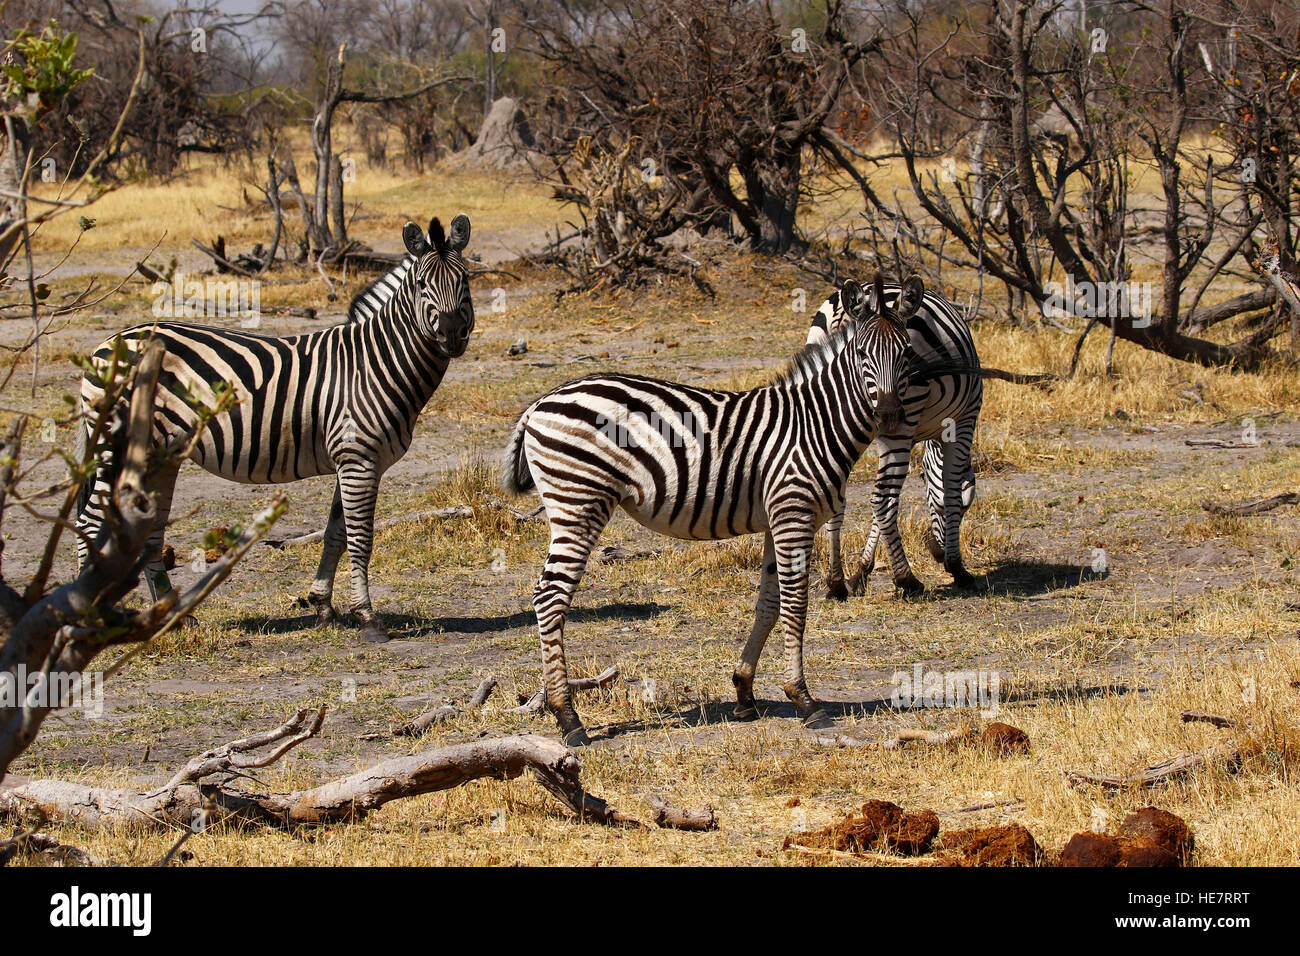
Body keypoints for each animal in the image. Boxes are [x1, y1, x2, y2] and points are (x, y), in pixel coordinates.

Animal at [75, 214, 475, 643]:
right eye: (421, 285)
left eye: (465, 279)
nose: (452, 334)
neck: (376, 362)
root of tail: (106, 344)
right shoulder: (359, 459)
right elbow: (360, 539)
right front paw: (367, 617)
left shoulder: (351, 460)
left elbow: (335, 535)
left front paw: (323, 606)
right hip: (115, 446)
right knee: (89, 522)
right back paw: (86, 618)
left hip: (160, 454)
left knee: (149, 533)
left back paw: (174, 616)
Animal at [501, 276, 925, 746]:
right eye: (862, 355)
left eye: (907, 354)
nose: (889, 418)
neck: (816, 423)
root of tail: (542, 400)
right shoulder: (794, 513)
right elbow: (796, 605)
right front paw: (804, 699)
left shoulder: (776, 519)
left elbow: (769, 605)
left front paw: (744, 691)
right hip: (579, 501)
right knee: (550, 596)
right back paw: (568, 718)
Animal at [808, 276, 983, 599]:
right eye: (967, 508)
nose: (935, 551)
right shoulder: (963, 420)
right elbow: (951, 490)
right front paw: (956, 567)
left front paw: (861, 571)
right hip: (901, 420)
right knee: (883, 498)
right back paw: (907, 579)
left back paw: (836, 582)